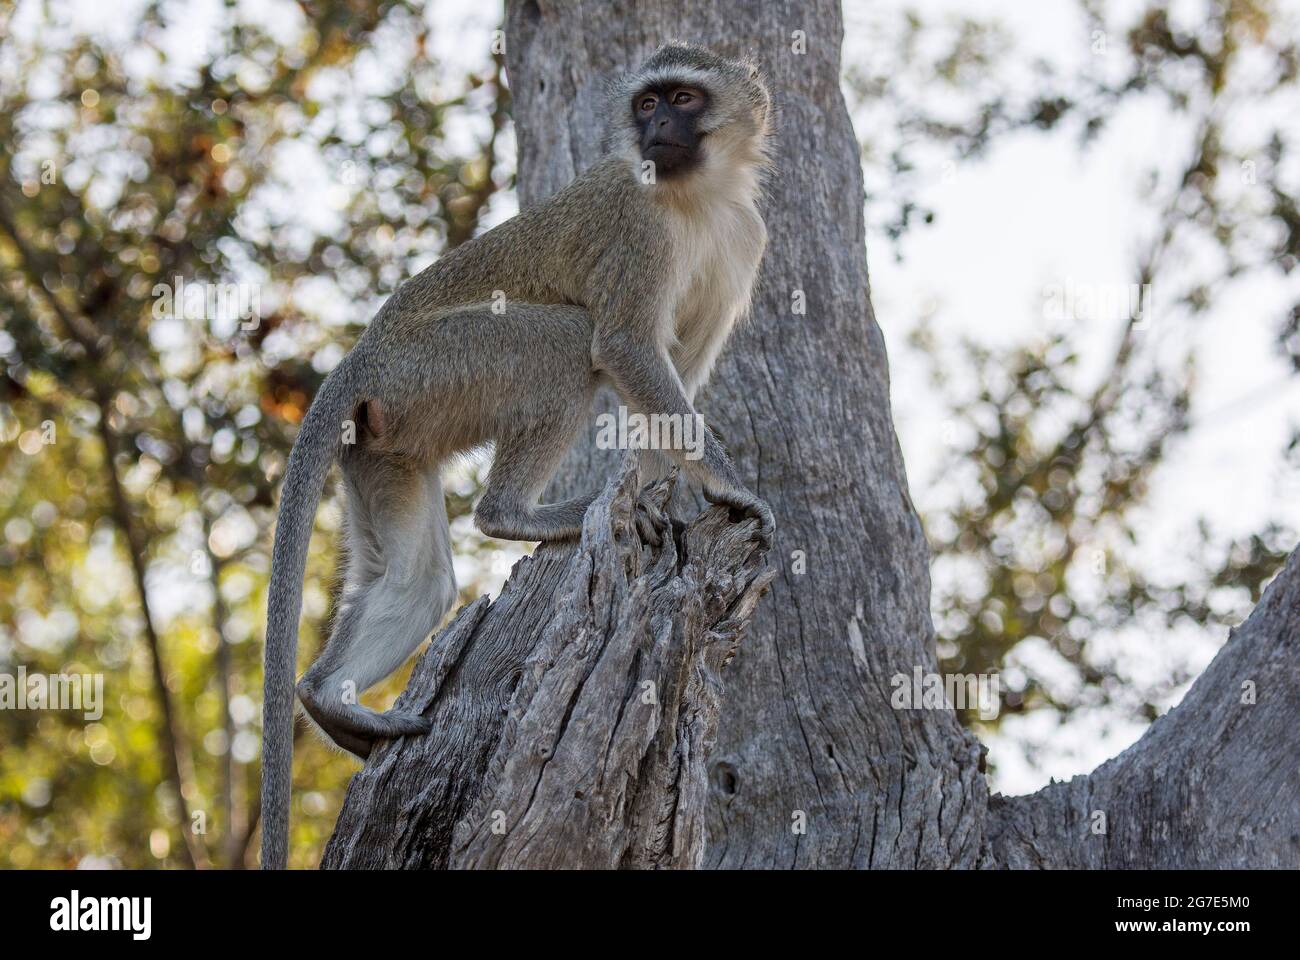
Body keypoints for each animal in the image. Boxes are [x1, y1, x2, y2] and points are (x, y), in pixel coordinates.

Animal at [261, 41, 774, 868]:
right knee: (565, 344)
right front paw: (732, 490)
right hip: (440, 364)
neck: (699, 194)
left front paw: (663, 491)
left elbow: (676, 382)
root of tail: (361, 358)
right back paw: (518, 515)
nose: (656, 128)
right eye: (647, 102)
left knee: (419, 581)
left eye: (683, 99)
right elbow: (624, 349)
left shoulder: (745, 236)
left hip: (385, 439)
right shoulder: (638, 232)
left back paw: (323, 697)